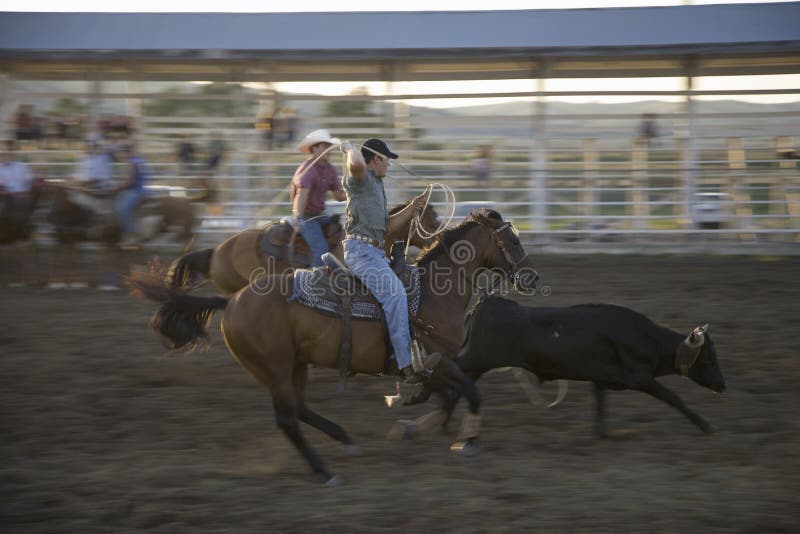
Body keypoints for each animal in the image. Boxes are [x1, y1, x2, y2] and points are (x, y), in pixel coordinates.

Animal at [445, 296, 726, 437]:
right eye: (709, 359)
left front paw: (600, 433)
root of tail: (485, 303)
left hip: (479, 364)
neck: (647, 338)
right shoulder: (641, 378)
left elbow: (598, 405)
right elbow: (674, 397)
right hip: (477, 358)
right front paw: (706, 425)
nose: (722, 386)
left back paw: (445, 419)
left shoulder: (600, 379)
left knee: (460, 385)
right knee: (447, 367)